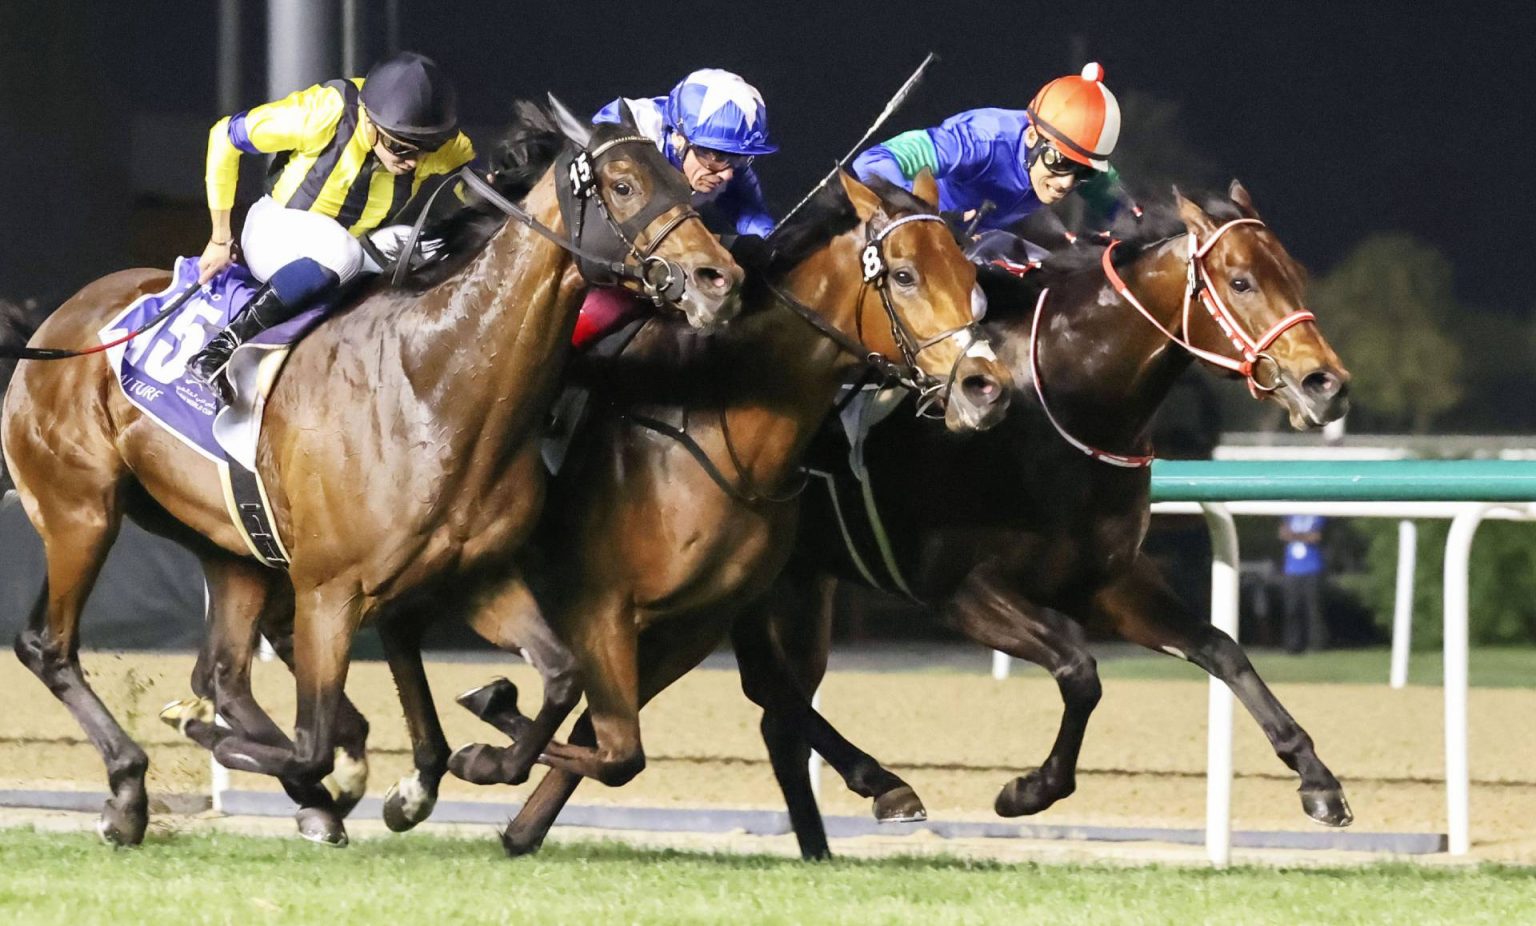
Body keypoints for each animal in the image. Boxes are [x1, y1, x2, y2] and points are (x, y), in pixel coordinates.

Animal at [0, 100, 741, 847]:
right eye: (623, 185)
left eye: (684, 181)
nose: (720, 279)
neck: (436, 384)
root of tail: (63, 320)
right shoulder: (331, 590)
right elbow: (313, 741)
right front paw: (224, 739)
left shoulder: (476, 576)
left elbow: (559, 678)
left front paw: (477, 752)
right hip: (80, 510)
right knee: (49, 645)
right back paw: (130, 788)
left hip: (227, 543)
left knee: (224, 673)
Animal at [376, 169, 1012, 854]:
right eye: (904, 275)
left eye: (969, 276)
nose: (985, 388)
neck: (717, 421)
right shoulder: (599, 604)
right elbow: (615, 743)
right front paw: (488, 738)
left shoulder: (692, 621)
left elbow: (613, 743)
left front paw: (519, 819)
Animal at [727, 183, 1356, 859]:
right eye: (1241, 282)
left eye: (1294, 275)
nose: (1327, 385)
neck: (1058, 407)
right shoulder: (958, 591)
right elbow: (1080, 671)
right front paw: (1027, 791)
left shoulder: (1104, 582)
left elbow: (1222, 649)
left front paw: (1319, 781)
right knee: (769, 691)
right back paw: (882, 786)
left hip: (801, 585)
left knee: (778, 714)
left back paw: (824, 842)